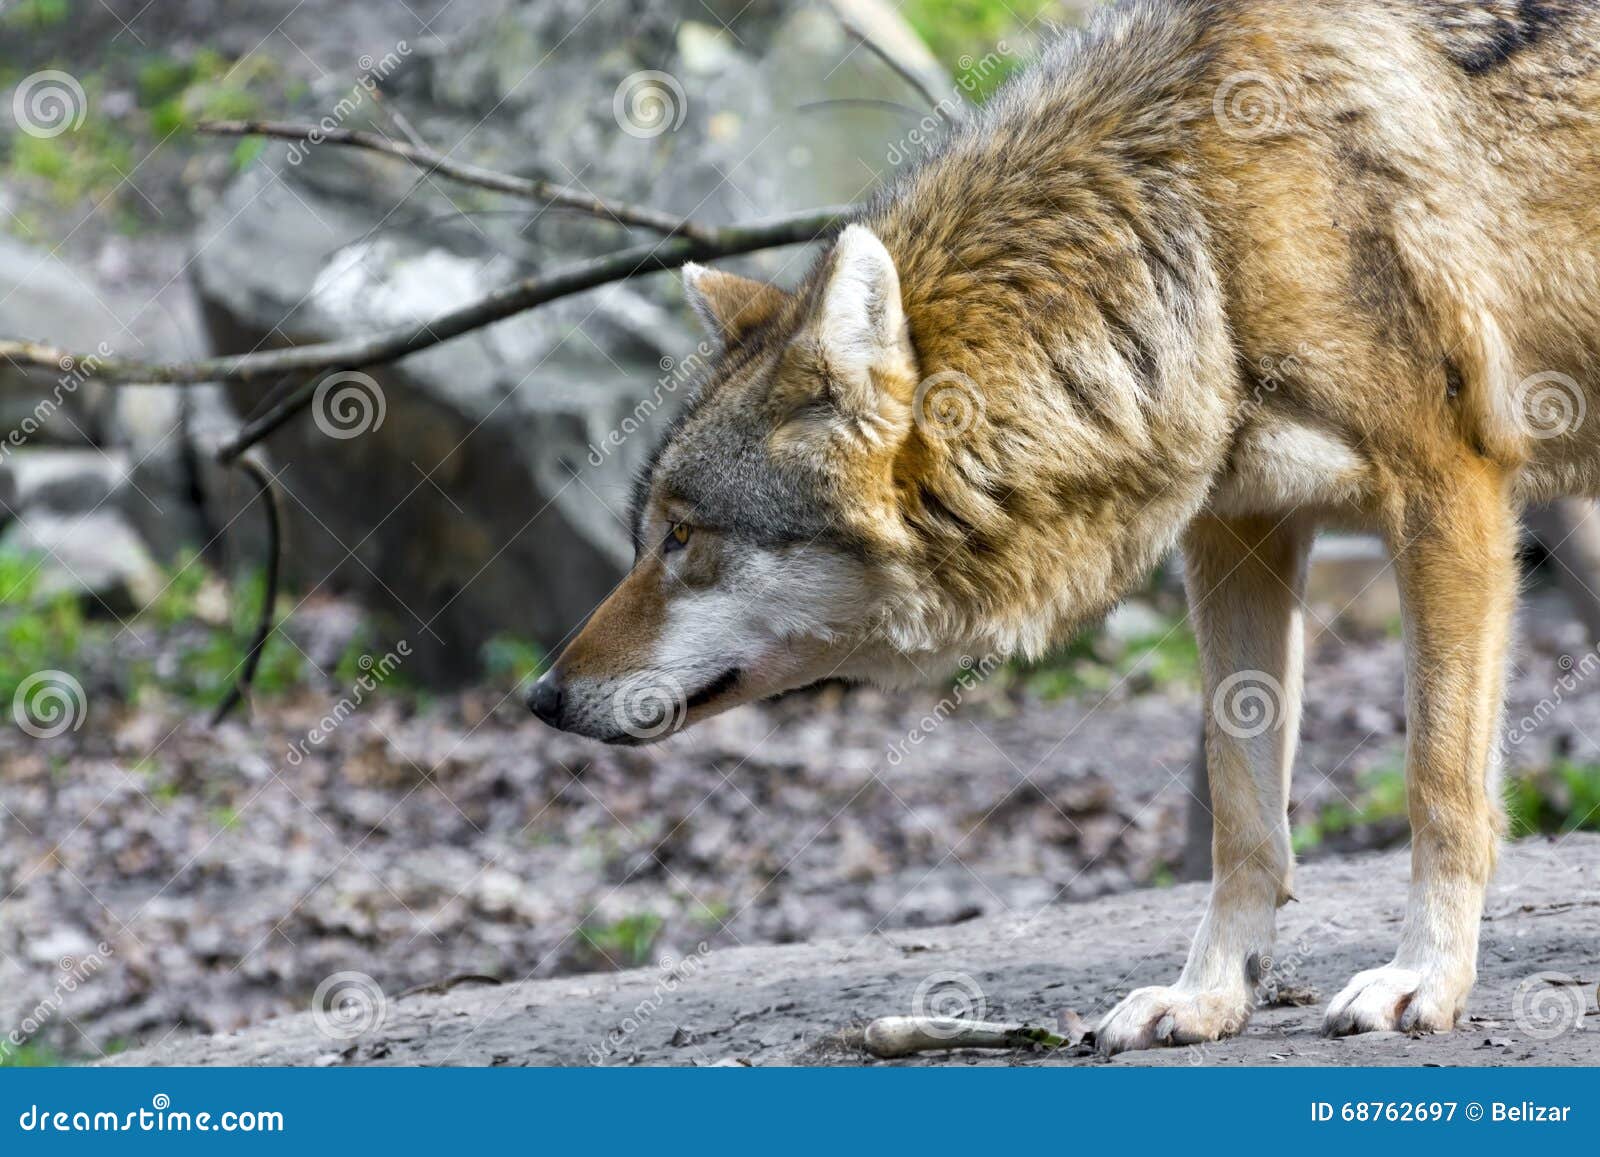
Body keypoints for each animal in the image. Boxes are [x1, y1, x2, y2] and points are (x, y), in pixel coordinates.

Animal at [527, 0, 1600, 1055]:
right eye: (646, 535)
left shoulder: (1449, 496)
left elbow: (1438, 785)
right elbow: (1241, 814)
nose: (541, 697)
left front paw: (1426, 978)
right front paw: (1208, 995)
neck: (1206, 222)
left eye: (682, 535)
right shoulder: (1238, 533)